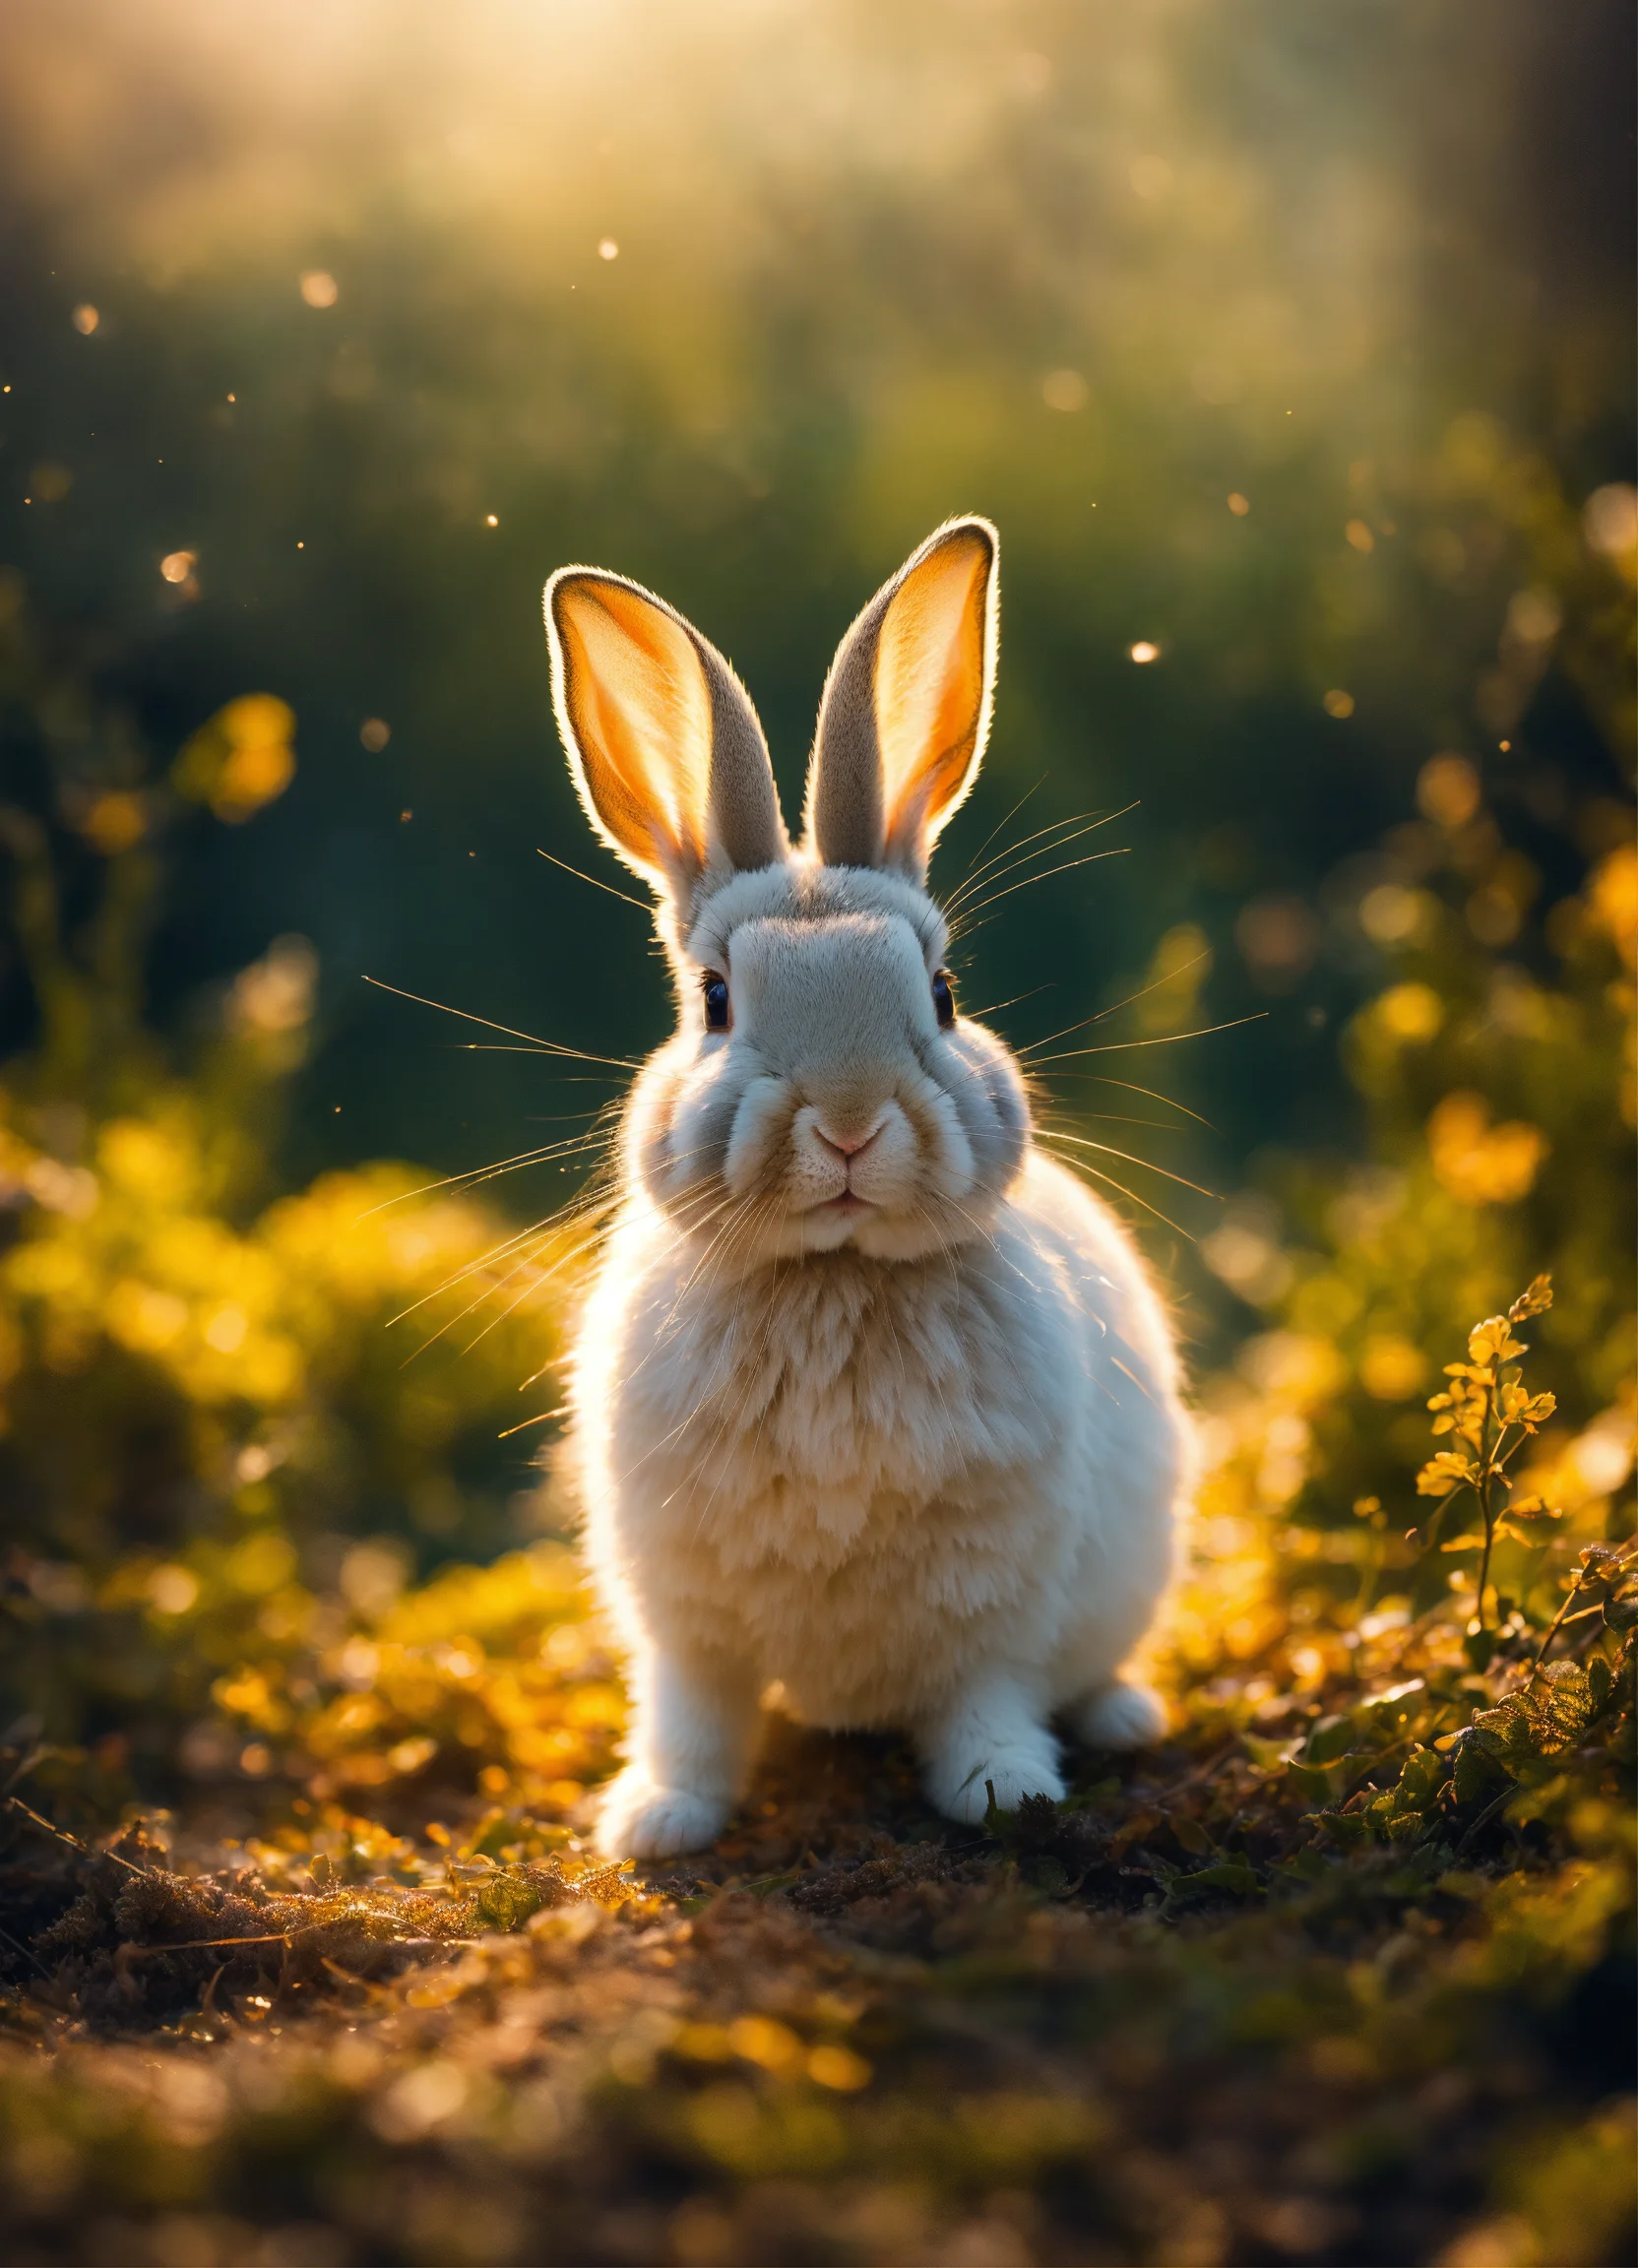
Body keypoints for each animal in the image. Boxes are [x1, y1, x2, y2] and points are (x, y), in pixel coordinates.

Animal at [542, 516, 1195, 1860]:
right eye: (714, 1002)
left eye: (942, 996)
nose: (847, 1125)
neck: (830, 1280)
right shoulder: (679, 1622)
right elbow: (692, 1716)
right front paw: (656, 1822)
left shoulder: (994, 1599)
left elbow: (981, 1696)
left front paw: (1005, 1793)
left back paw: (1123, 1718)